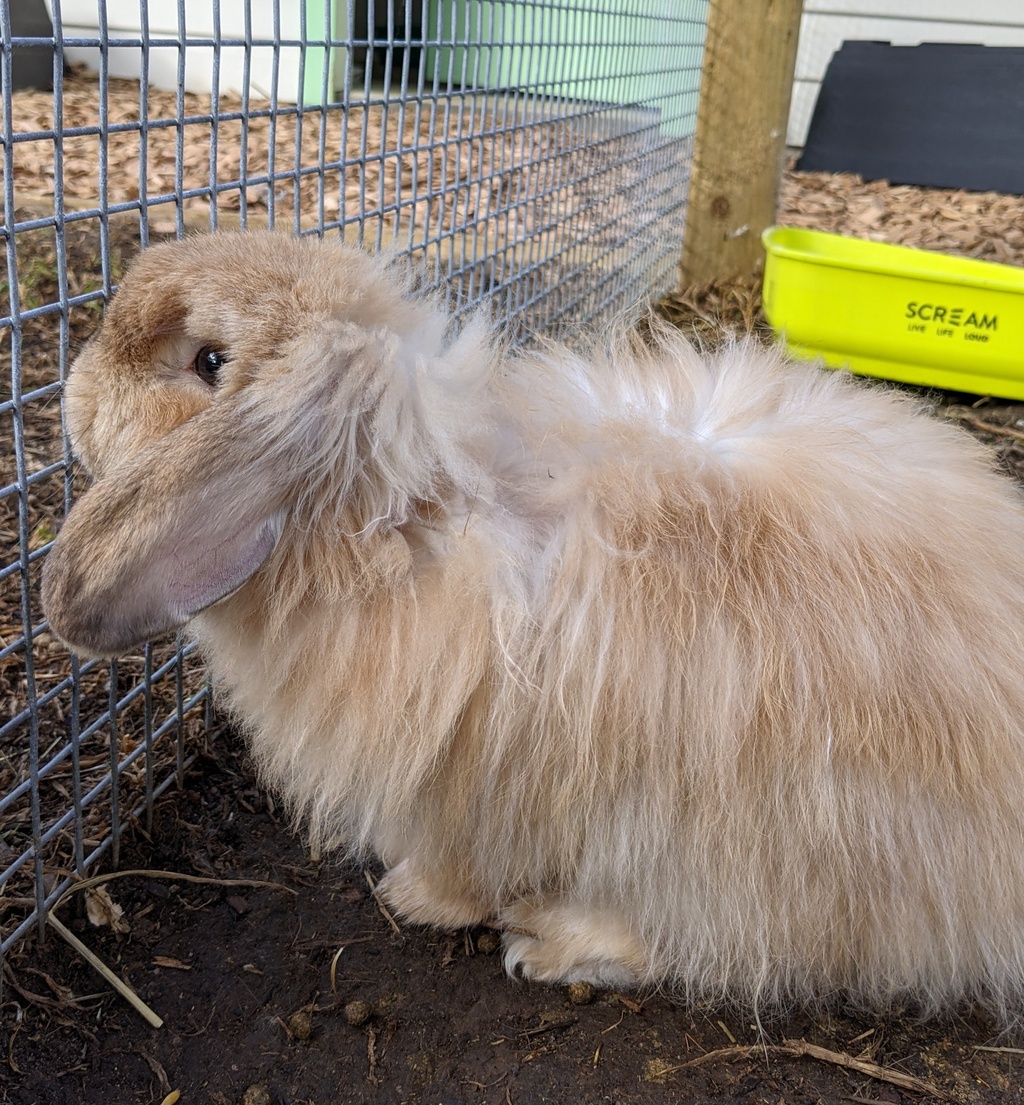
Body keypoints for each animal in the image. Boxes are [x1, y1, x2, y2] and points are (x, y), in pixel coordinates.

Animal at [42, 229, 1024, 1023]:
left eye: (208, 362)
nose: (72, 386)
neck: (395, 523)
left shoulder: (472, 783)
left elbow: (463, 864)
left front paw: (413, 895)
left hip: (746, 846)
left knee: (727, 945)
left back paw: (555, 940)